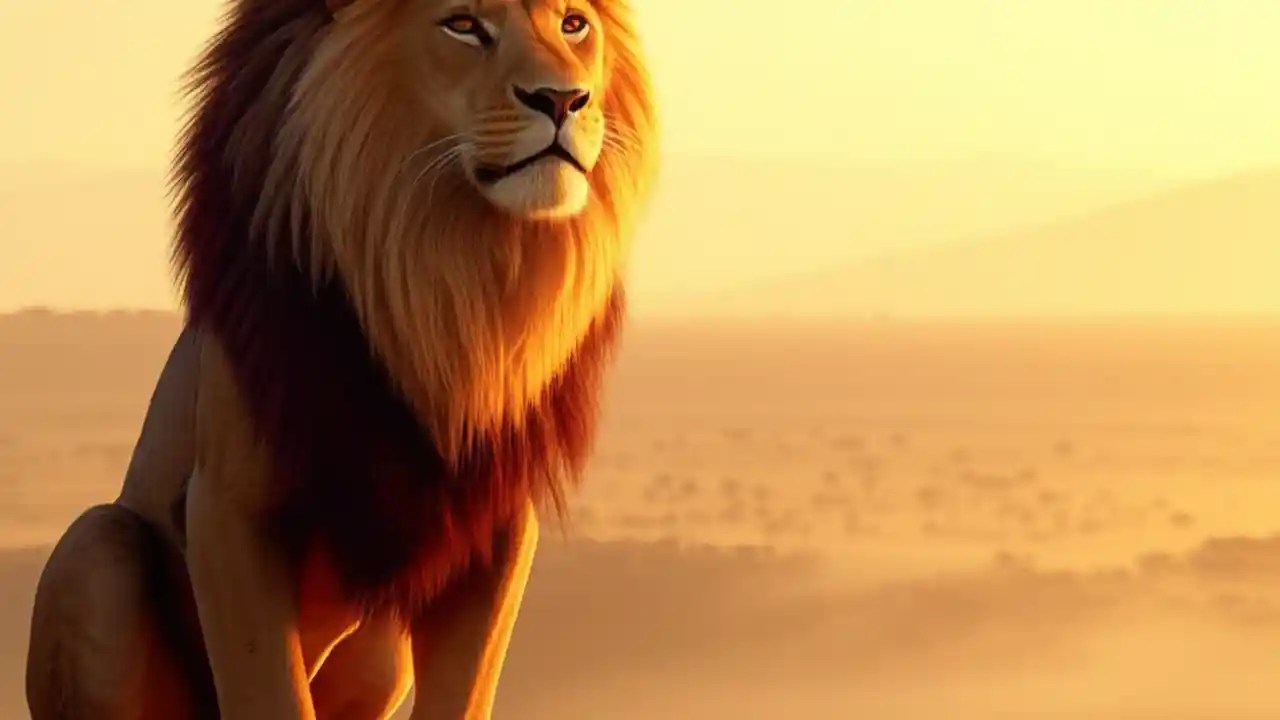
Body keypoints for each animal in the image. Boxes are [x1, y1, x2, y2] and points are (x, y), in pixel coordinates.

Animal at [25, 0, 656, 717]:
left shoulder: (493, 524)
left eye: (574, 24)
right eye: (463, 25)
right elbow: (269, 692)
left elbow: (462, 692)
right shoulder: (228, 508)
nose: (564, 99)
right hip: (94, 550)